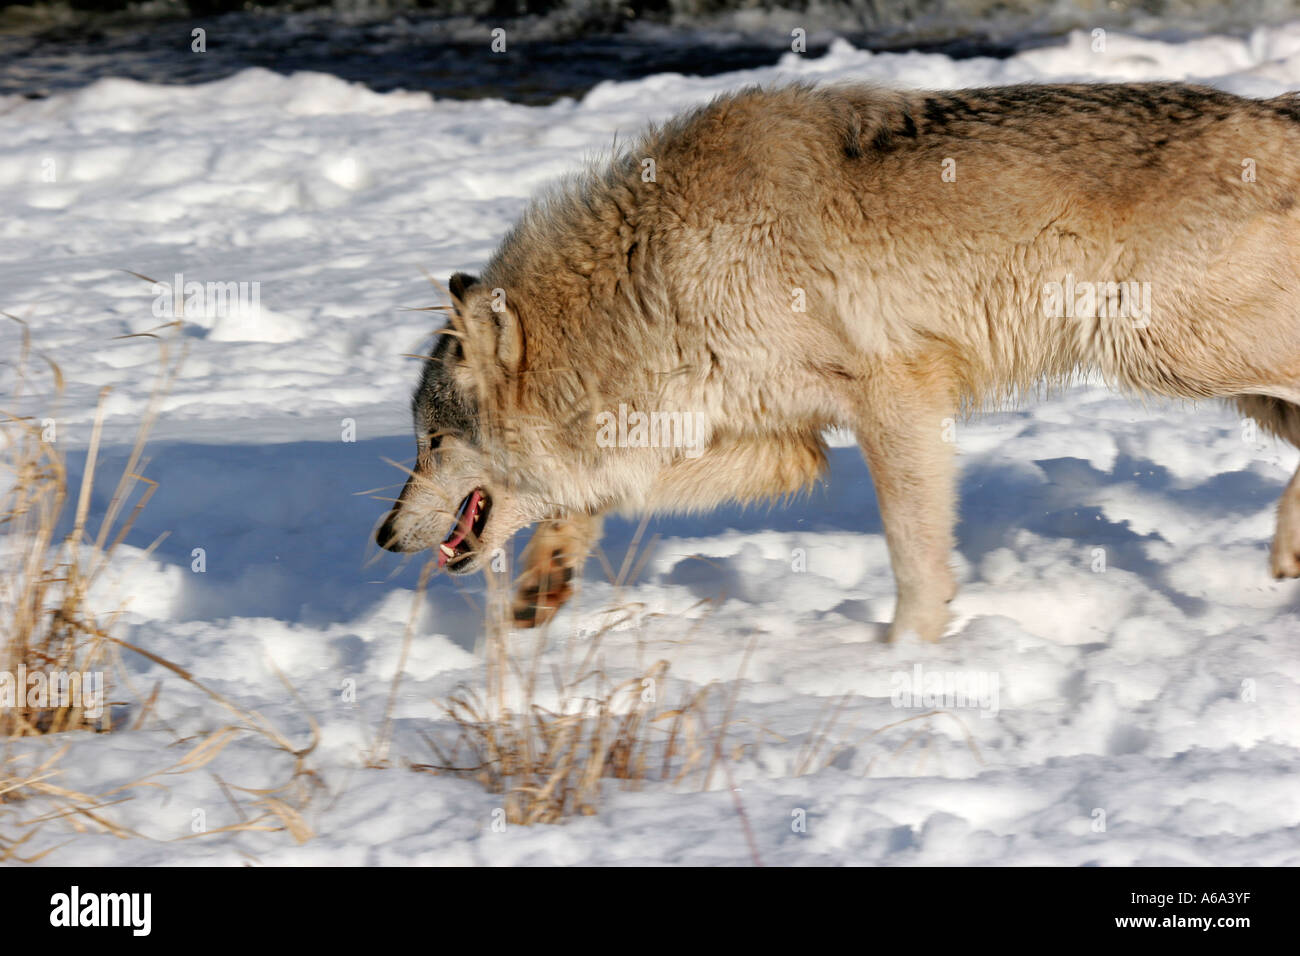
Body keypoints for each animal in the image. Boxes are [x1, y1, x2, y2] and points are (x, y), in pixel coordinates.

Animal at [377, 81, 1300, 641]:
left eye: (431, 443)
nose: (383, 536)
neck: (655, 283)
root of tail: (1274, 110)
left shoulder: (898, 395)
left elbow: (915, 552)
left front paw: (902, 657)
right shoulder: (787, 447)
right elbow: (614, 489)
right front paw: (547, 576)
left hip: (1172, 354)